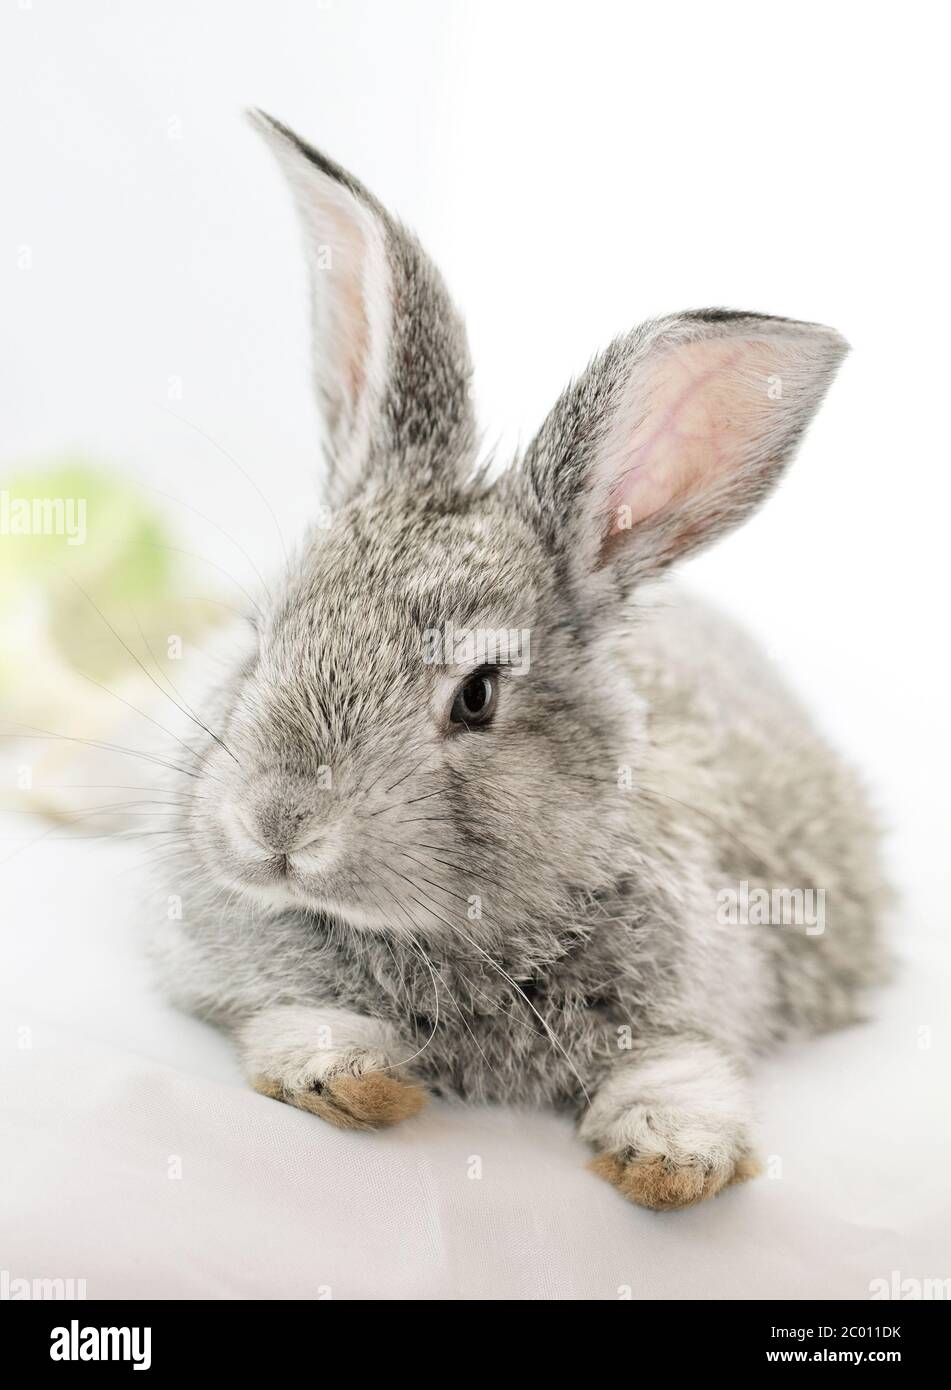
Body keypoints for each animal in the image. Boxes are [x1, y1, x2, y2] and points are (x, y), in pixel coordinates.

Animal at [151, 110, 891, 1212]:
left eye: (477, 696)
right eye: (265, 630)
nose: (278, 826)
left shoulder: (706, 985)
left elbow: (683, 1069)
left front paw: (670, 1159)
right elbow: (295, 1025)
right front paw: (356, 1081)